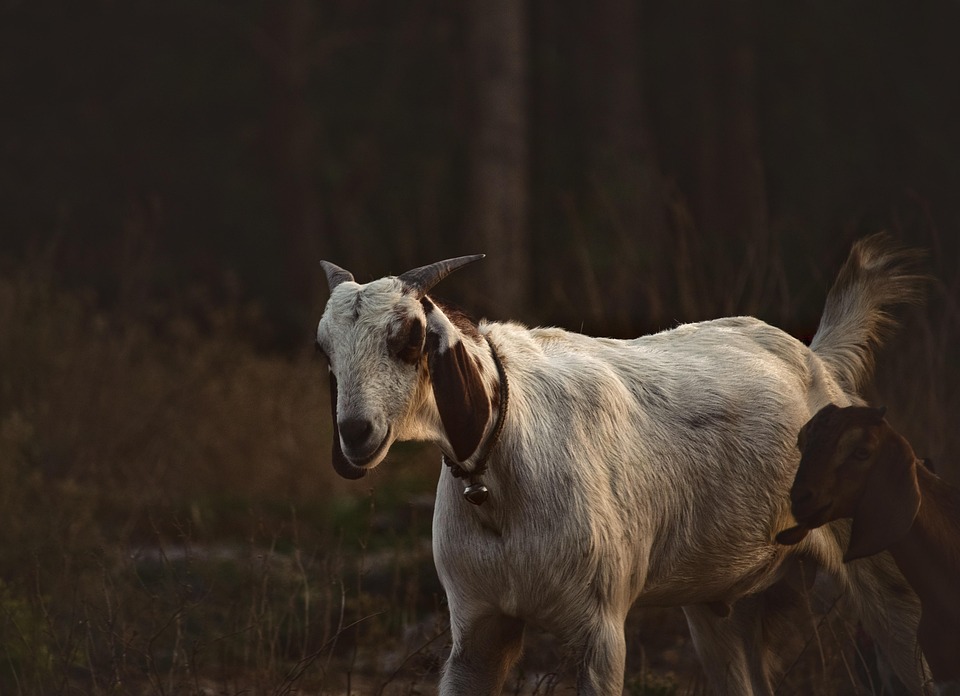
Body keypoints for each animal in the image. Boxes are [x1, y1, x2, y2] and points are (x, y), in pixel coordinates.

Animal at [314, 234, 927, 695]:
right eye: (325, 350)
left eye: (410, 336)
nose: (356, 433)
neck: (501, 473)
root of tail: (819, 364)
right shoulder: (477, 629)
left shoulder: (601, 630)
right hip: (722, 603)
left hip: (883, 567)